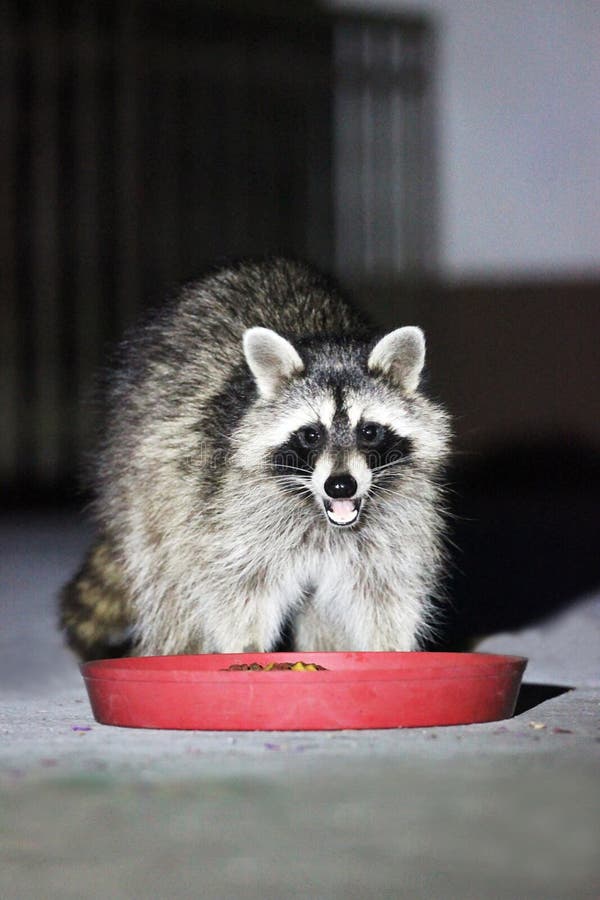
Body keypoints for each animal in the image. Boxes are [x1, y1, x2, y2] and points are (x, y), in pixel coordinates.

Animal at [60, 258, 450, 661]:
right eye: (311, 435)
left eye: (369, 431)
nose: (341, 485)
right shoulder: (228, 507)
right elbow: (238, 588)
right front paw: (246, 648)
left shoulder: (396, 521)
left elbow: (386, 592)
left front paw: (390, 651)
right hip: (144, 484)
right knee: (169, 584)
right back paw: (174, 648)